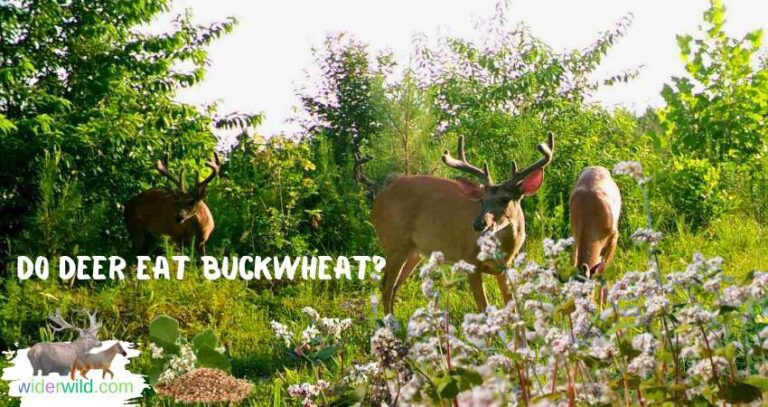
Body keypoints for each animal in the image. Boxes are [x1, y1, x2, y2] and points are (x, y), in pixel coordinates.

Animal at [374, 133, 555, 313]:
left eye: (505, 199)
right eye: (481, 200)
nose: (478, 224)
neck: (504, 248)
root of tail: (381, 194)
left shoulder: (505, 267)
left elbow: (511, 306)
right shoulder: (470, 260)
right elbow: (483, 307)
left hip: (414, 251)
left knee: (394, 286)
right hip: (395, 244)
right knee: (386, 286)